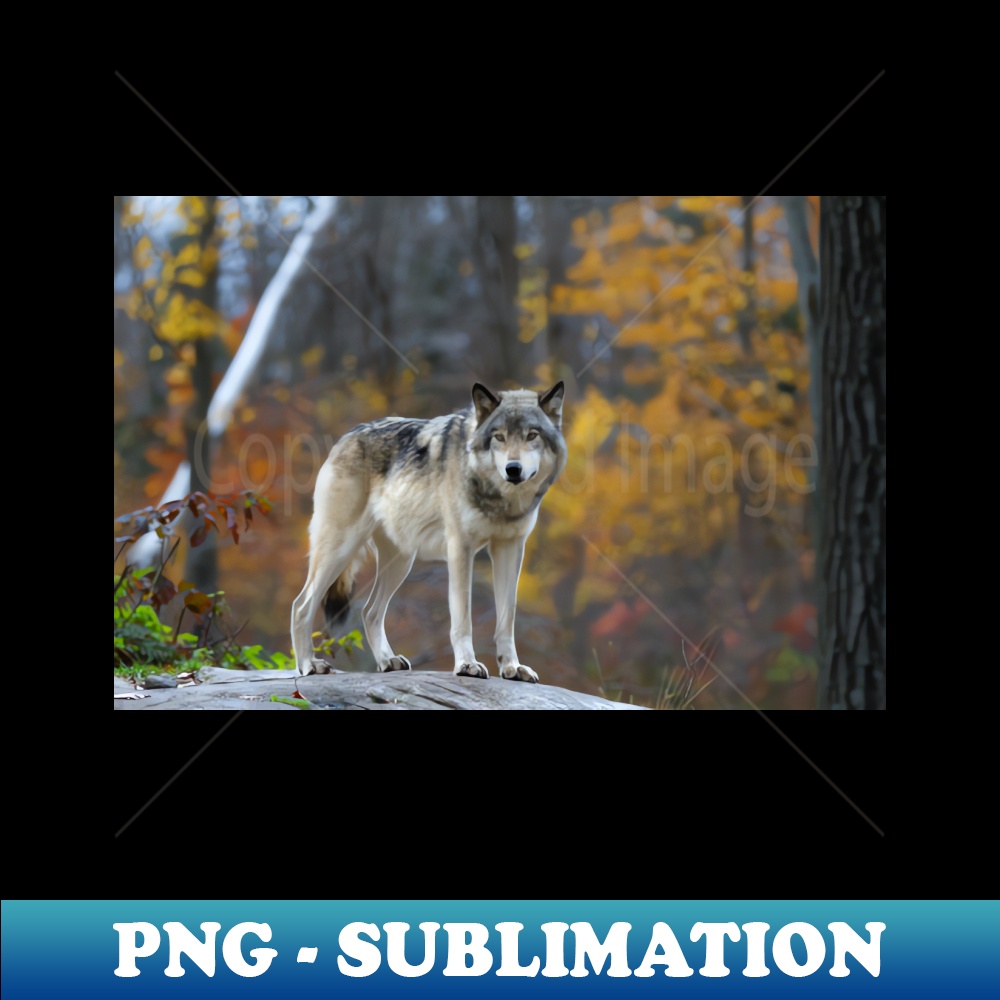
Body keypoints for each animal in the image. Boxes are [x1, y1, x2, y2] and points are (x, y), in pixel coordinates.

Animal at [291, 381, 566, 682]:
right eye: (499, 437)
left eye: (531, 436)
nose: (513, 469)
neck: (499, 499)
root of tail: (345, 437)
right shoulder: (460, 549)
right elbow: (462, 619)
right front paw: (467, 665)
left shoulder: (510, 548)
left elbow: (507, 619)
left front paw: (512, 668)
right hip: (340, 550)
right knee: (301, 606)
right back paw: (308, 665)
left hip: (400, 562)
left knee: (369, 611)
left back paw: (387, 661)